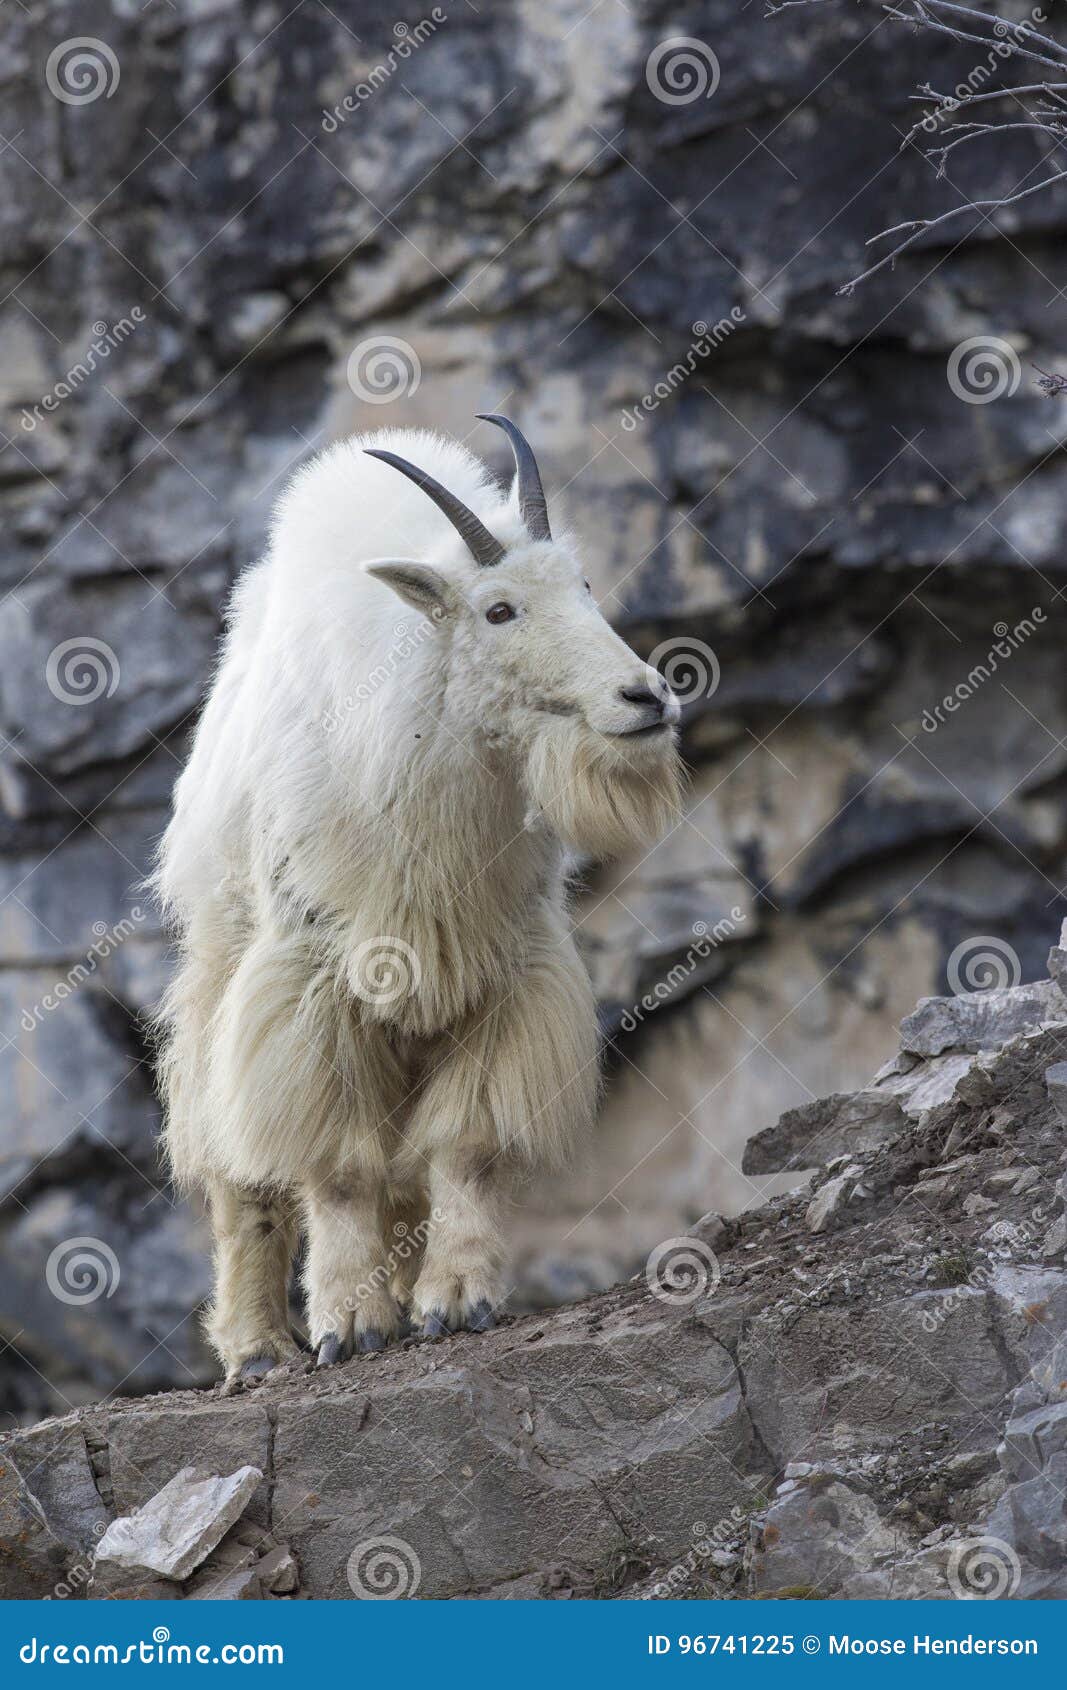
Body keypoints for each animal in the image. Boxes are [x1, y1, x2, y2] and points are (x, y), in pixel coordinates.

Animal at [154, 416, 682, 1381]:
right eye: (498, 609)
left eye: (584, 585)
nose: (645, 697)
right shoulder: (313, 980)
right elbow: (334, 1165)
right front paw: (346, 1324)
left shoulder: (502, 976)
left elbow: (464, 1147)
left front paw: (454, 1302)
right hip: (220, 963)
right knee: (237, 1168)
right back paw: (258, 1348)